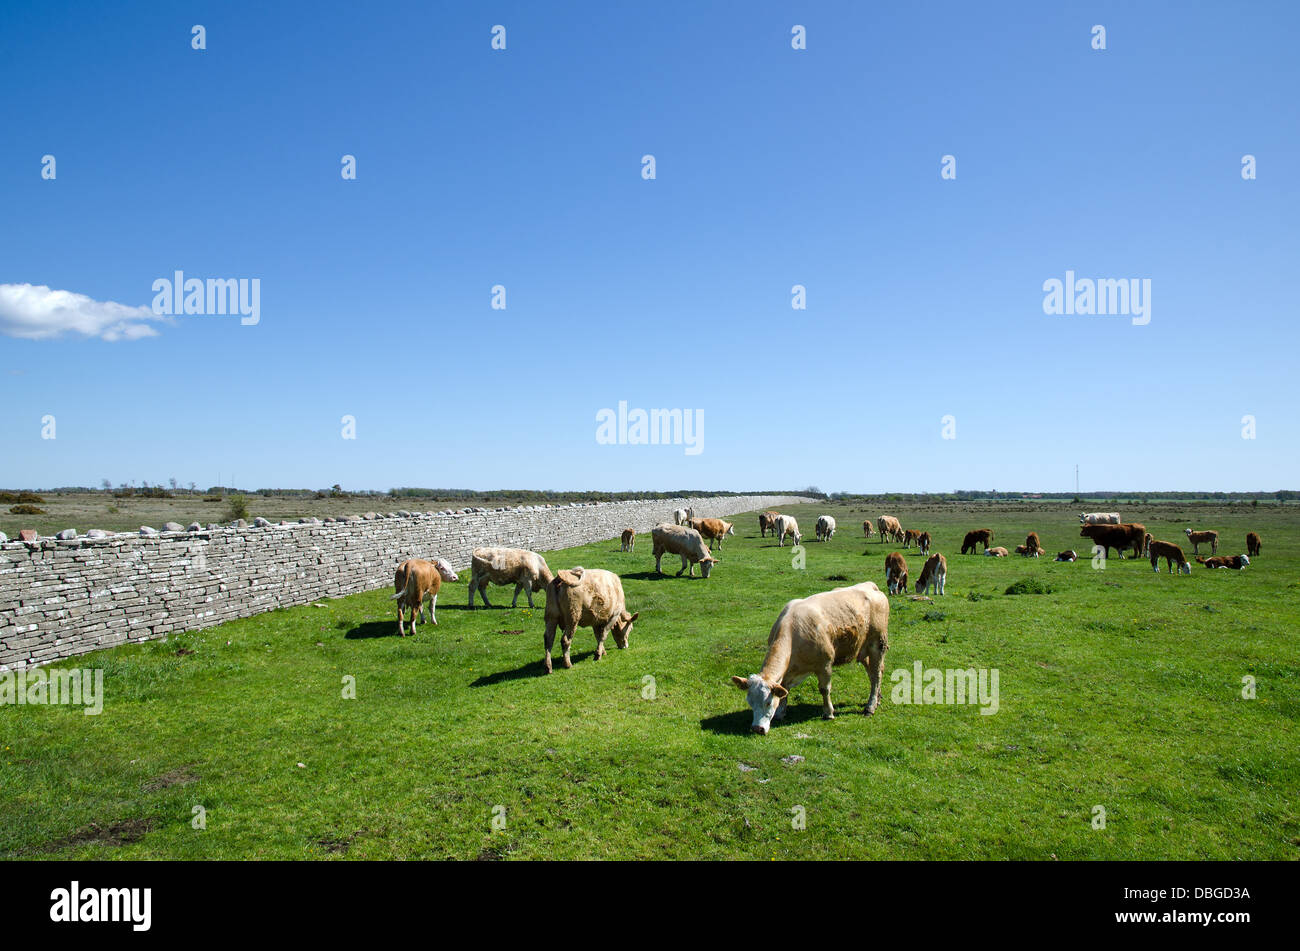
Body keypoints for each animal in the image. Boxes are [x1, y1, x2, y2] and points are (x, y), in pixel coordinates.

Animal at [730, 581, 889, 733]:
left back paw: (870, 707)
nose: (757, 729)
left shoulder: (825, 664)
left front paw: (828, 713)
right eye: (750, 702)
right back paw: (877, 699)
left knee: (876, 674)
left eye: (768, 703)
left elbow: (824, 689)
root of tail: (870, 586)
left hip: (877, 644)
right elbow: (784, 691)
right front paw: (781, 713)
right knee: (873, 673)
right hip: (863, 650)